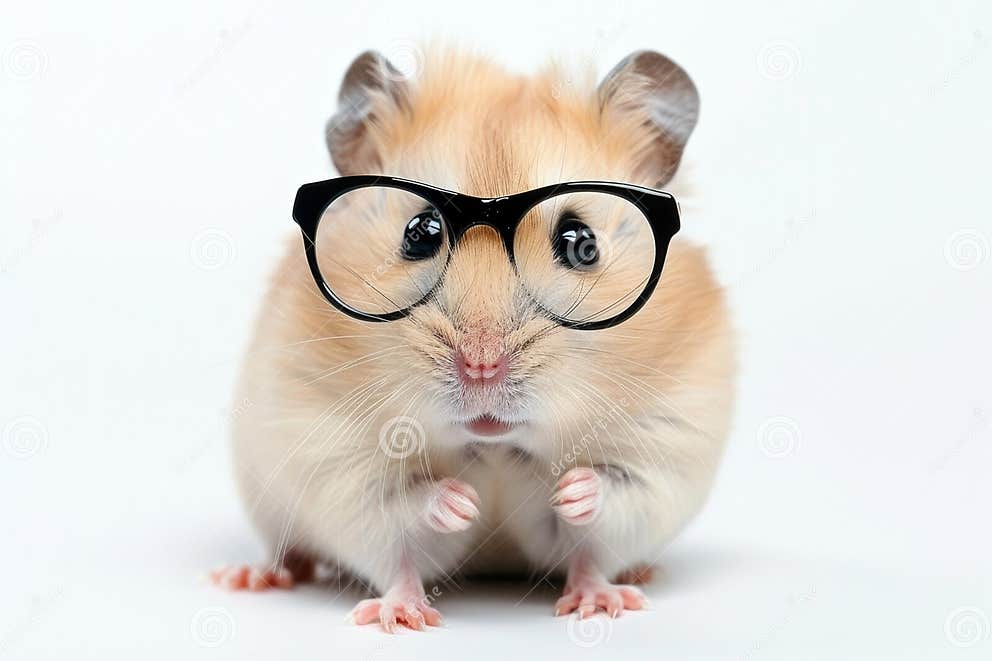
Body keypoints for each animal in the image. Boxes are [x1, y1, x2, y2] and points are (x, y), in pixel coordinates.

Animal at [212, 47, 736, 632]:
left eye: (582, 243)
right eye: (420, 232)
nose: (481, 367)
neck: (496, 448)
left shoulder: (664, 451)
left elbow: (598, 525)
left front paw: (573, 502)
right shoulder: (335, 463)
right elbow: (397, 528)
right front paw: (460, 508)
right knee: (291, 551)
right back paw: (251, 576)